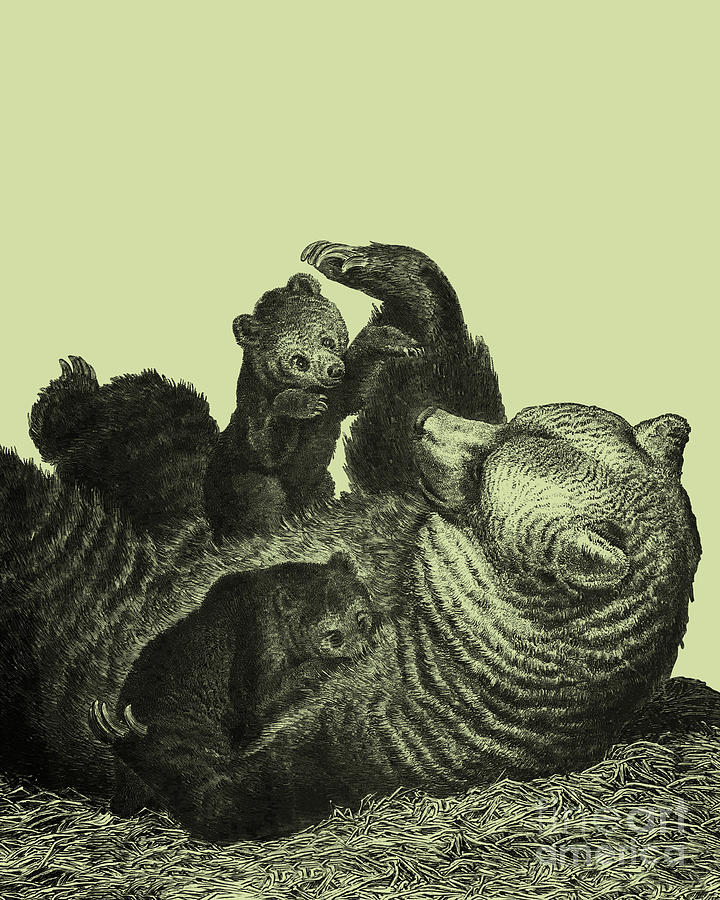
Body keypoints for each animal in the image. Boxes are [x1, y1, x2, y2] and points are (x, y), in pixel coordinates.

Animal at [203, 271, 423, 542]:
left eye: (327, 340)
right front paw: (303, 402)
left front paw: (397, 341)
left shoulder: (336, 399)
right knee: (262, 501)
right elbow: (266, 445)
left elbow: (354, 388)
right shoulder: (254, 414)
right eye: (298, 360)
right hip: (237, 482)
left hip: (318, 481)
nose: (334, 370)